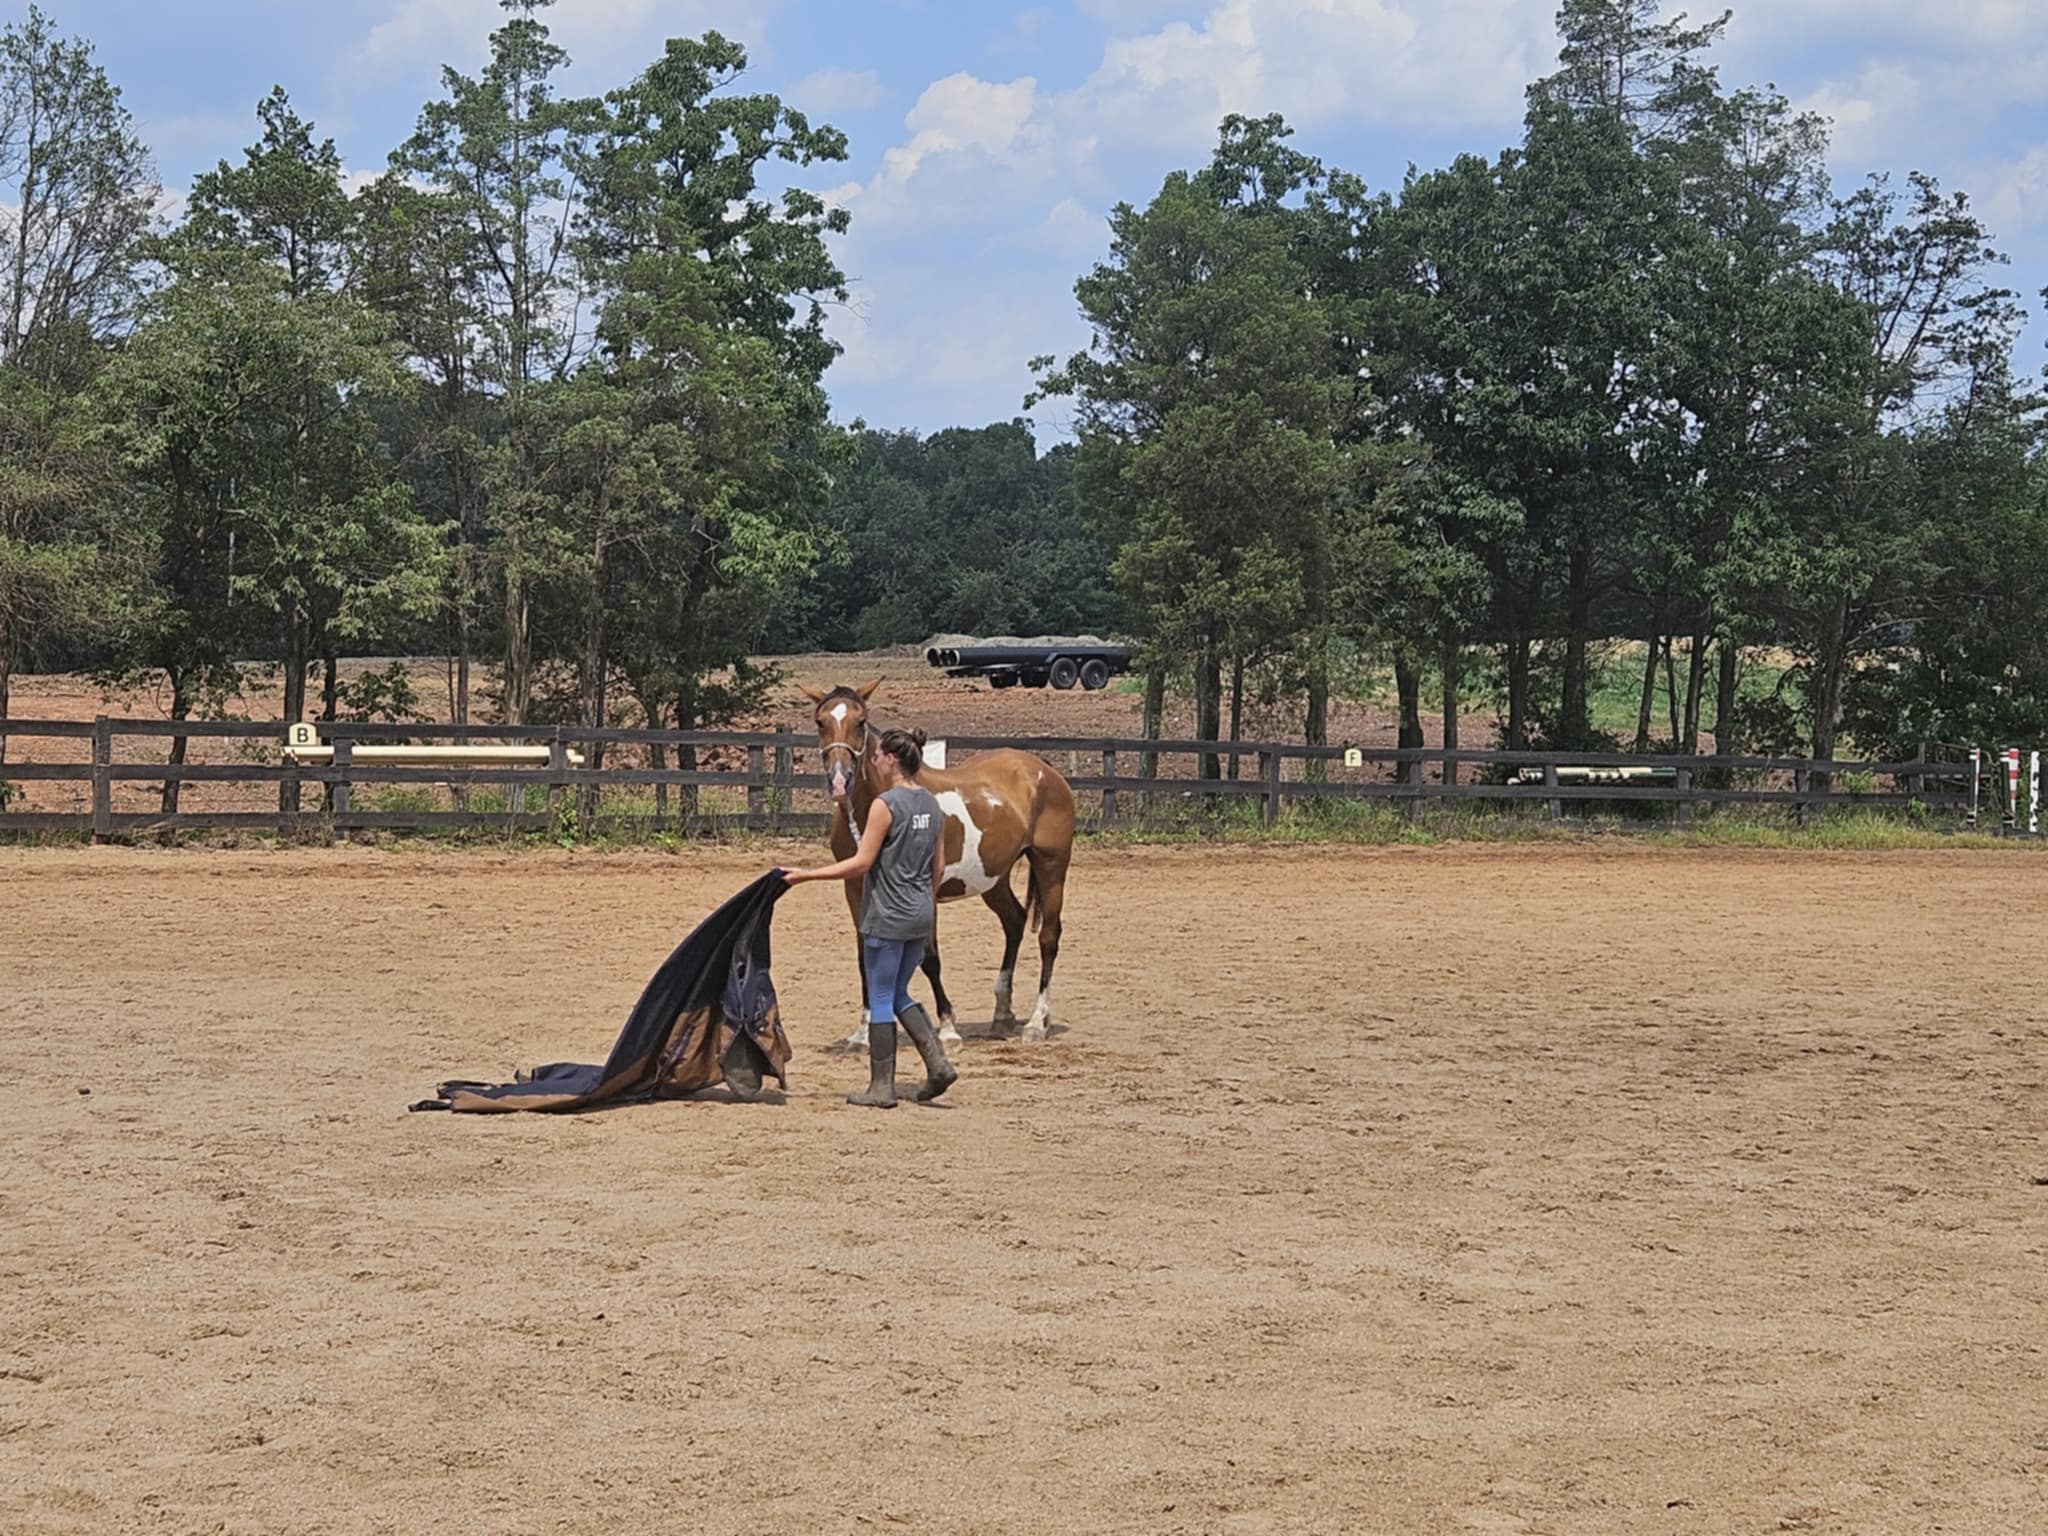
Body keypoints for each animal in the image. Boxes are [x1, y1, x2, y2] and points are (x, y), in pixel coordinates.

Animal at [806, 680, 1075, 1045]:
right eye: (820, 722)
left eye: (860, 721)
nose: (839, 779)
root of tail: (1043, 770)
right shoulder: (855, 890)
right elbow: (865, 957)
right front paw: (862, 1033)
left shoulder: (926, 892)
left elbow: (930, 957)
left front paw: (947, 1027)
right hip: (994, 877)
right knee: (1015, 922)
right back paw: (1002, 1016)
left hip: (1051, 867)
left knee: (1048, 937)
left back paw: (1036, 1022)